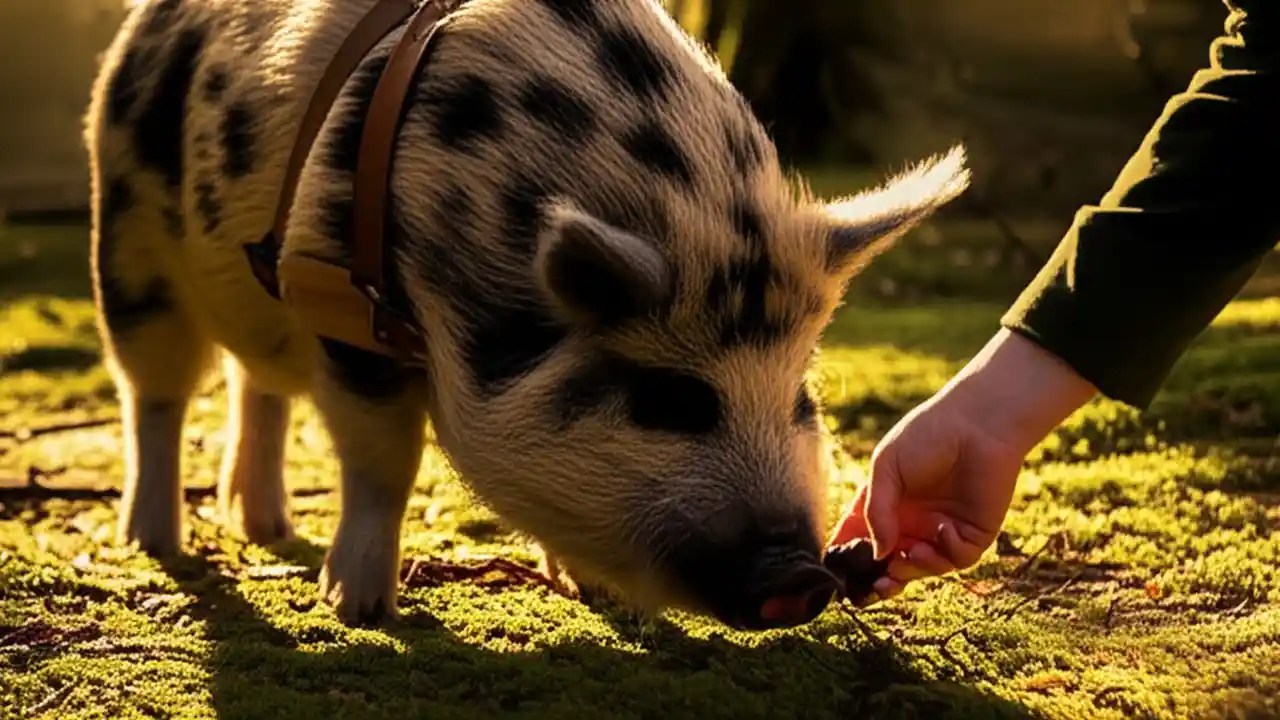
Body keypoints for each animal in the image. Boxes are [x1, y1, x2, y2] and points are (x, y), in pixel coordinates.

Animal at [86, 0, 968, 629]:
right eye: (672, 400)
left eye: (801, 402)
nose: (806, 576)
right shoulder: (346, 302)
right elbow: (383, 463)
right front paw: (361, 609)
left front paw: (593, 593)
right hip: (128, 238)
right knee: (156, 393)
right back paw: (153, 540)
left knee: (255, 382)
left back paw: (266, 526)